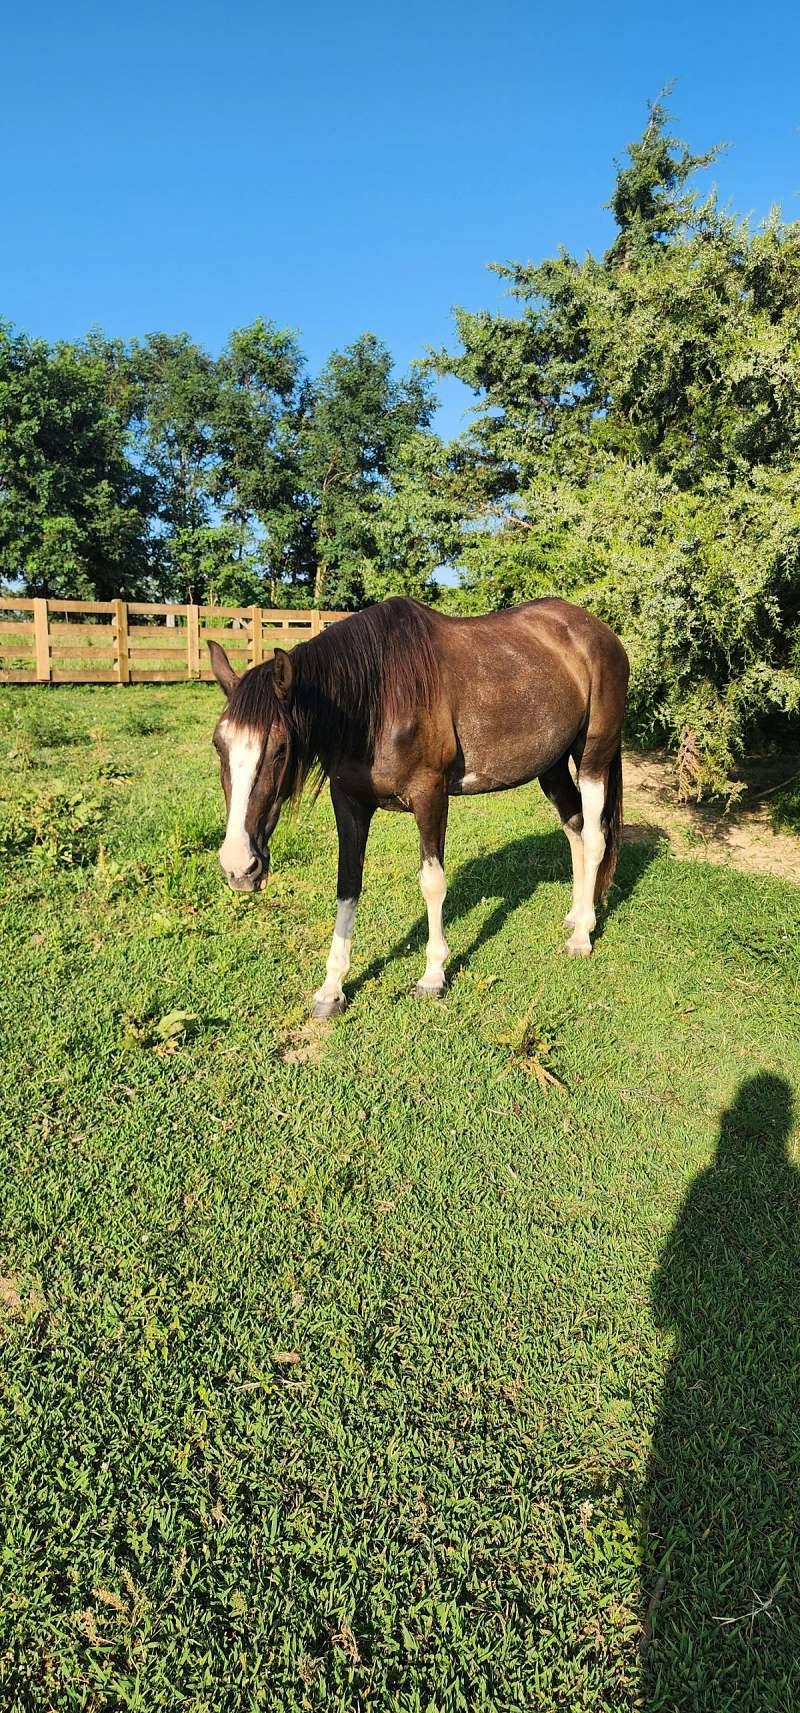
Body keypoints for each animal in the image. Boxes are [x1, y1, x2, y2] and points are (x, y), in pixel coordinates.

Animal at [208, 596, 629, 1018]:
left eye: (280, 748)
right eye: (218, 745)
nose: (239, 867)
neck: (377, 698)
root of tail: (598, 632)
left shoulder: (430, 797)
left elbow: (432, 882)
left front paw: (433, 975)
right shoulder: (349, 803)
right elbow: (348, 885)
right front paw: (332, 989)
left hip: (593, 758)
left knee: (595, 837)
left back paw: (582, 934)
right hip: (551, 766)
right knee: (574, 826)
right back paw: (576, 913)